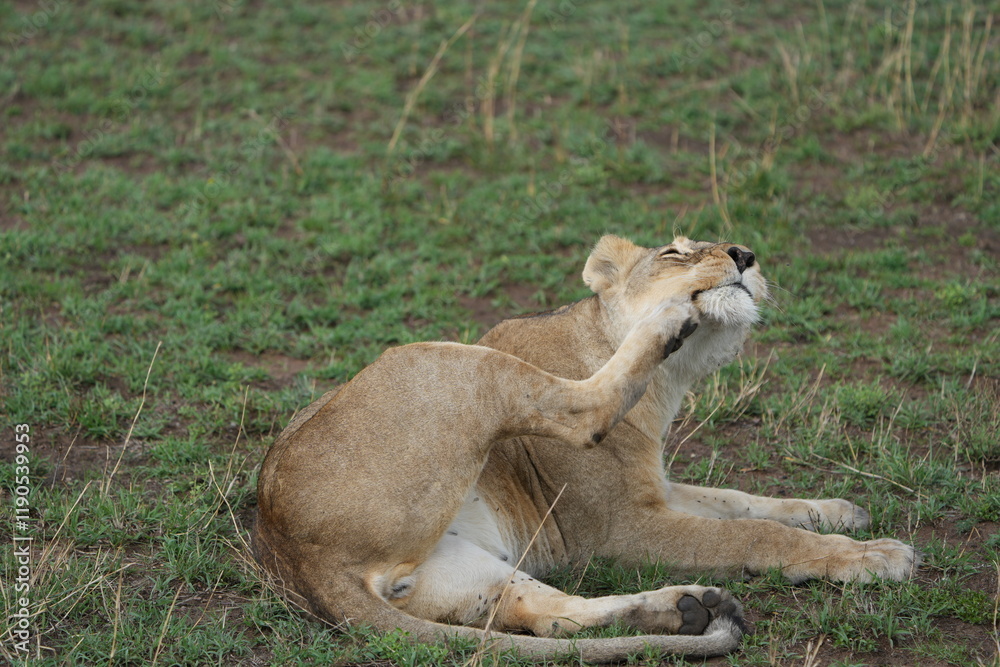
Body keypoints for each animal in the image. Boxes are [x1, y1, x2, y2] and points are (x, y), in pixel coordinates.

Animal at [252, 235, 919, 662]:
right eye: (676, 250)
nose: (746, 257)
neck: (670, 383)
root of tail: (293, 551)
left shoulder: (657, 491)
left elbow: (742, 500)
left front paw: (841, 513)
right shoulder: (620, 527)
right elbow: (754, 534)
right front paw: (875, 557)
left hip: (463, 568)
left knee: (549, 613)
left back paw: (687, 611)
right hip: (453, 362)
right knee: (582, 410)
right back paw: (666, 321)